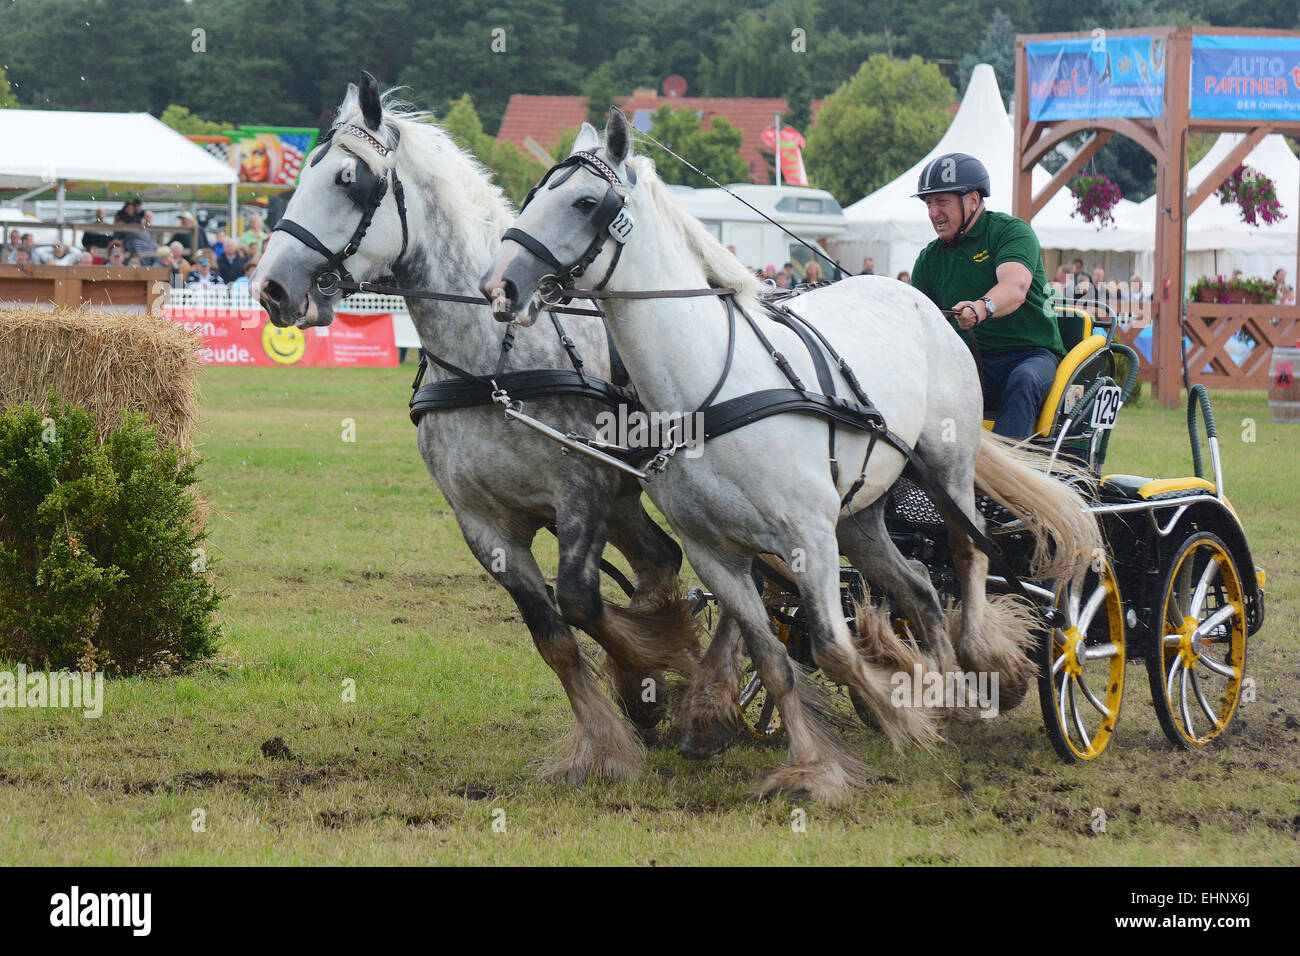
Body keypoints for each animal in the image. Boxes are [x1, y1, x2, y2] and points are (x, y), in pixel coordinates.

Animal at [252, 78, 702, 785]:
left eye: (350, 181)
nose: (271, 286)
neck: (492, 361)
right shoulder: (483, 525)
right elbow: (555, 637)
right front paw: (612, 734)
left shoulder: (581, 492)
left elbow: (582, 601)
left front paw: (658, 671)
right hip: (626, 500)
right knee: (659, 563)